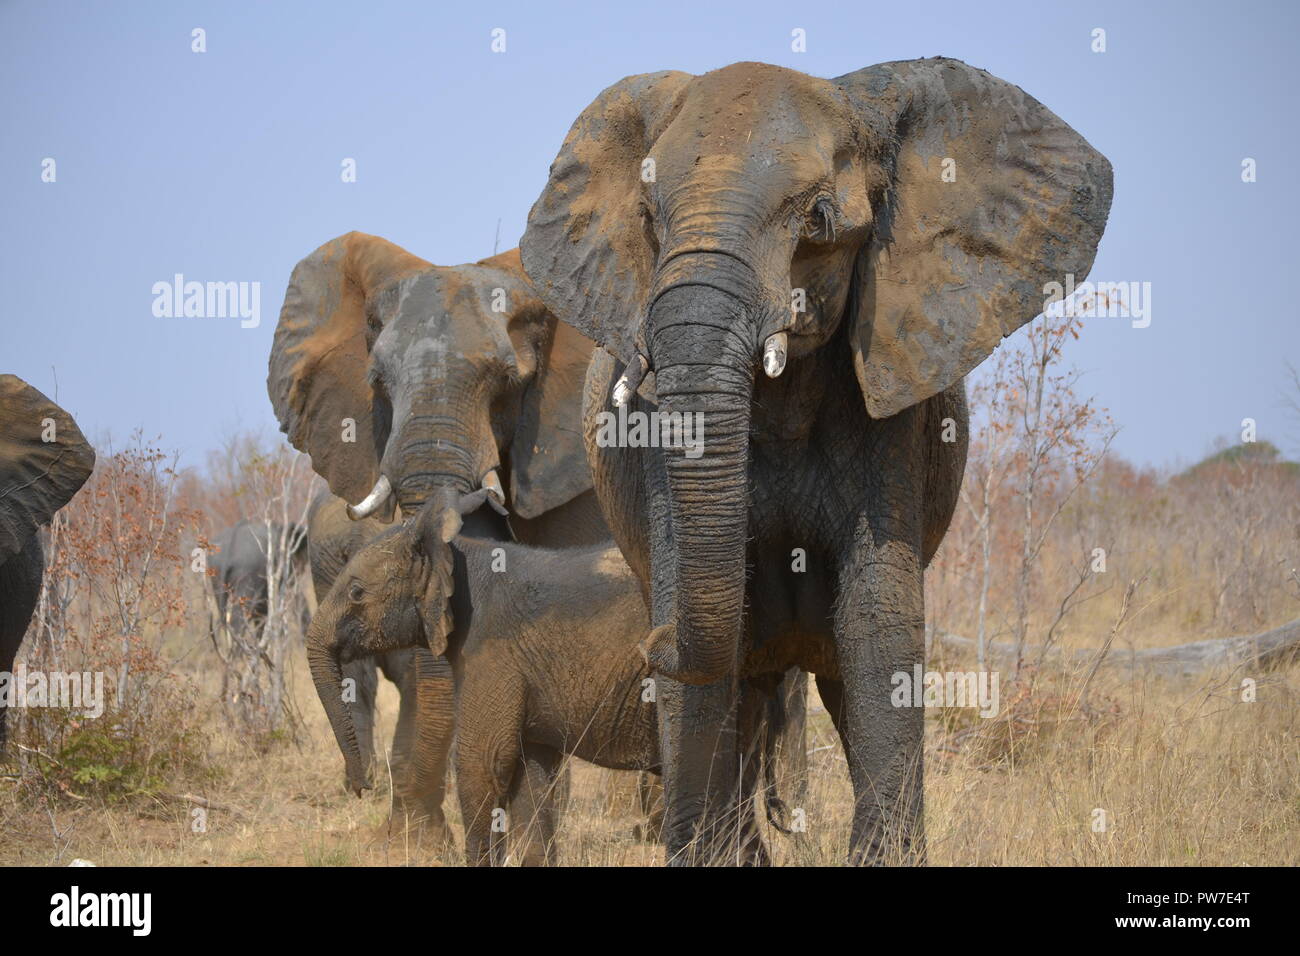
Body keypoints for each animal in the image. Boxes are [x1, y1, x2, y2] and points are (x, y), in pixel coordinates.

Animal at [306, 490, 786, 866]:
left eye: (356, 593)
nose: (361, 786)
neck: (459, 552)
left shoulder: (491, 653)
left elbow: (483, 763)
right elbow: (531, 777)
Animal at [520, 58, 1112, 863]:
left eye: (819, 223)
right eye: (647, 219)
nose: (650, 643)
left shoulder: (891, 403)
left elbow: (876, 625)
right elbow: (707, 645)